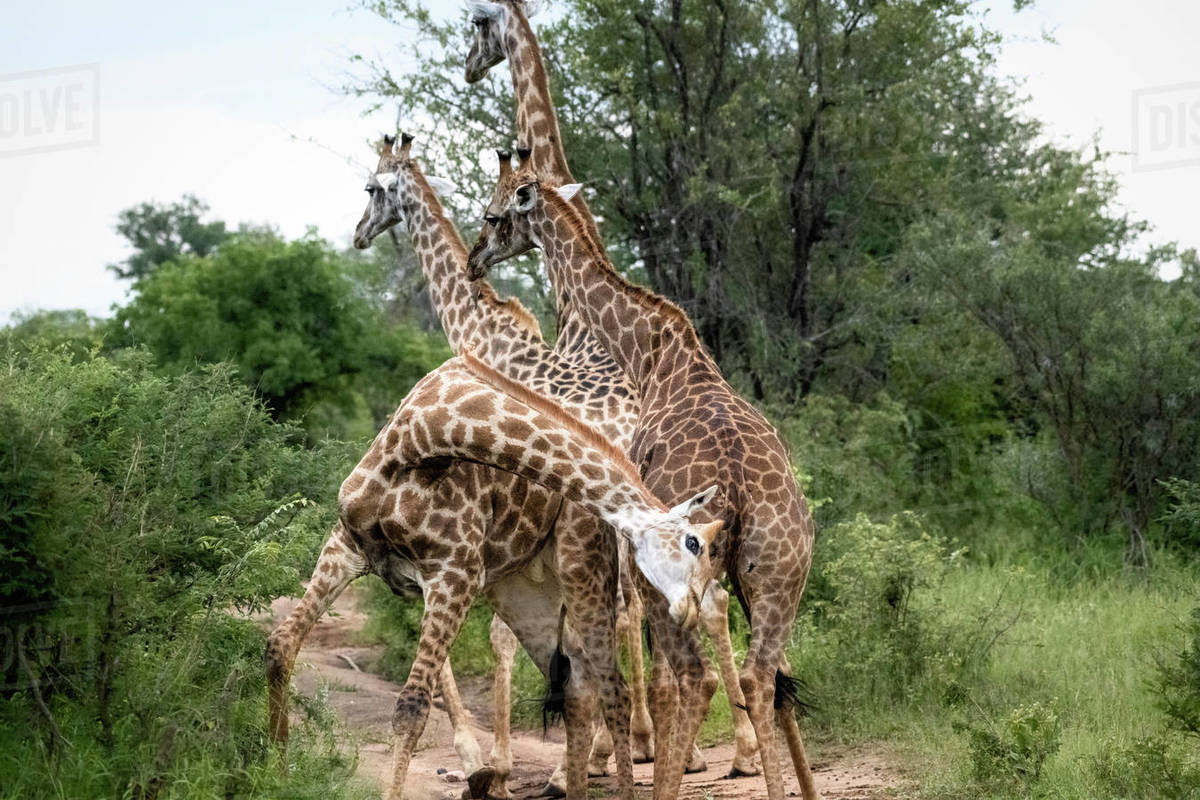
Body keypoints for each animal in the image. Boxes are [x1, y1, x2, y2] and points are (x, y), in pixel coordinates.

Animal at [467, 155, 822, 800]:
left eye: (494, 213)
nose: (474, 260)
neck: (653, 354)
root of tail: (738, 489)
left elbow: (656, 682)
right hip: (780, 571)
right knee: (762, 676)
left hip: (678, 582)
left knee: (695, 676)